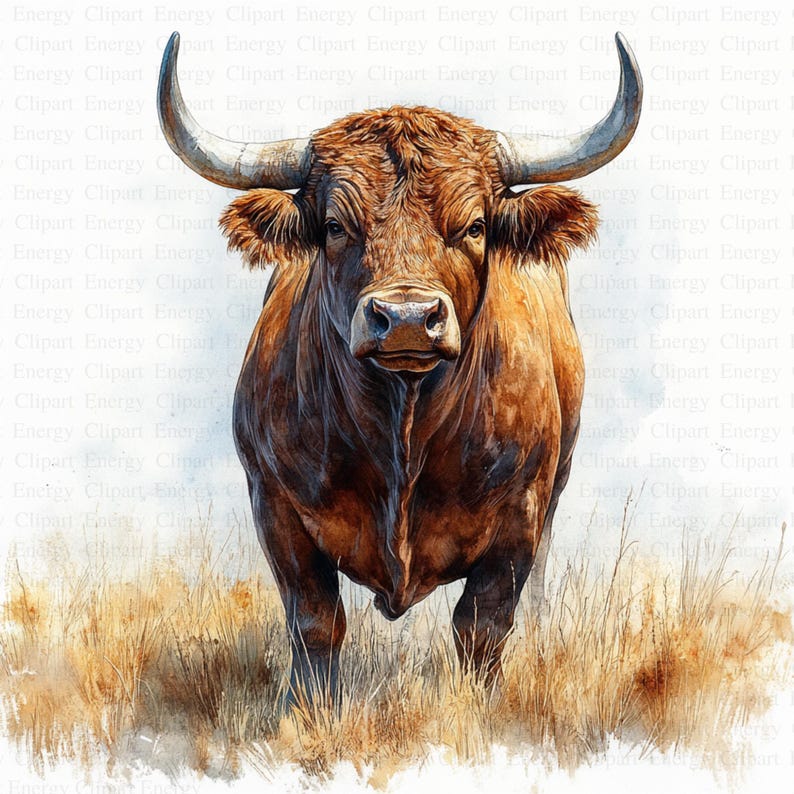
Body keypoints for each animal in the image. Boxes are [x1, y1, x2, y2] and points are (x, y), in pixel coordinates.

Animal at [157, 31, 642, 701]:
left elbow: (483, 626)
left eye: (475, 225)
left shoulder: (521, 514)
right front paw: (310, 709)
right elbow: (316, 622)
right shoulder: (274, 504)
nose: (407, 317)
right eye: (335, 225)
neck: (403, 433)